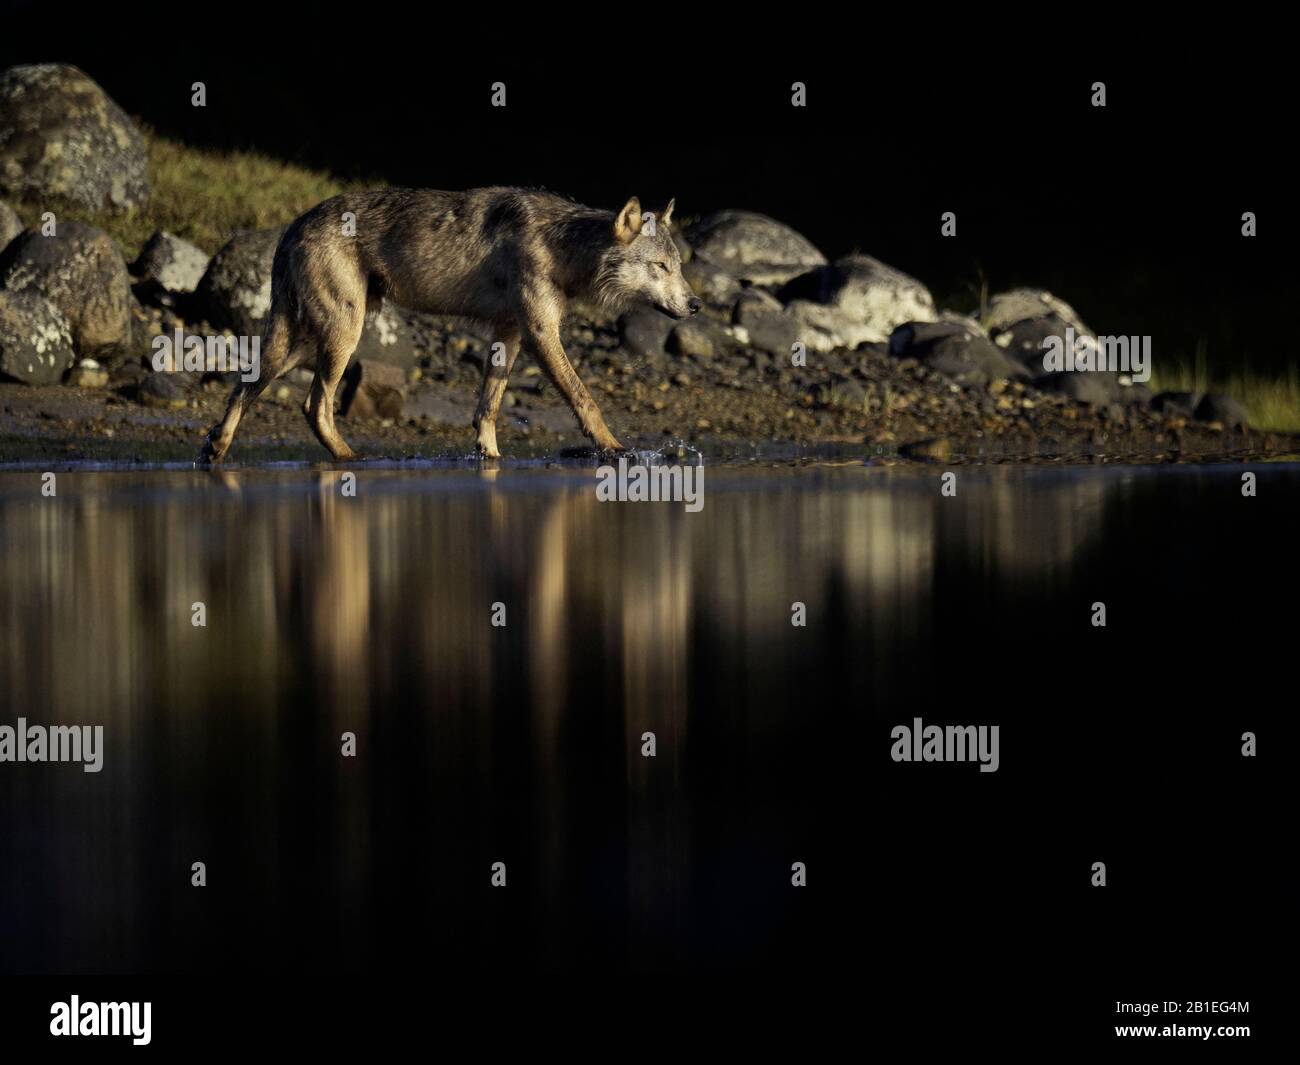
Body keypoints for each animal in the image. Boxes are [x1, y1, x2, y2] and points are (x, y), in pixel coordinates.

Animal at [198, 187, 700, 463]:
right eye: (659, 267)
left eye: (679, 267)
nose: (696, 304)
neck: (562, 247)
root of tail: (292, 225)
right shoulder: (540, 333)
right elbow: (585, 398)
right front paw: (614, 448)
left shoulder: (509, 333)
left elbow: (488, 408)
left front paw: (489, 457)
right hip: (341, 334)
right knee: (314, 405)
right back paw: (353, 459)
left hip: (309, 340)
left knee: (246, 385)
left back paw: (216, 449)